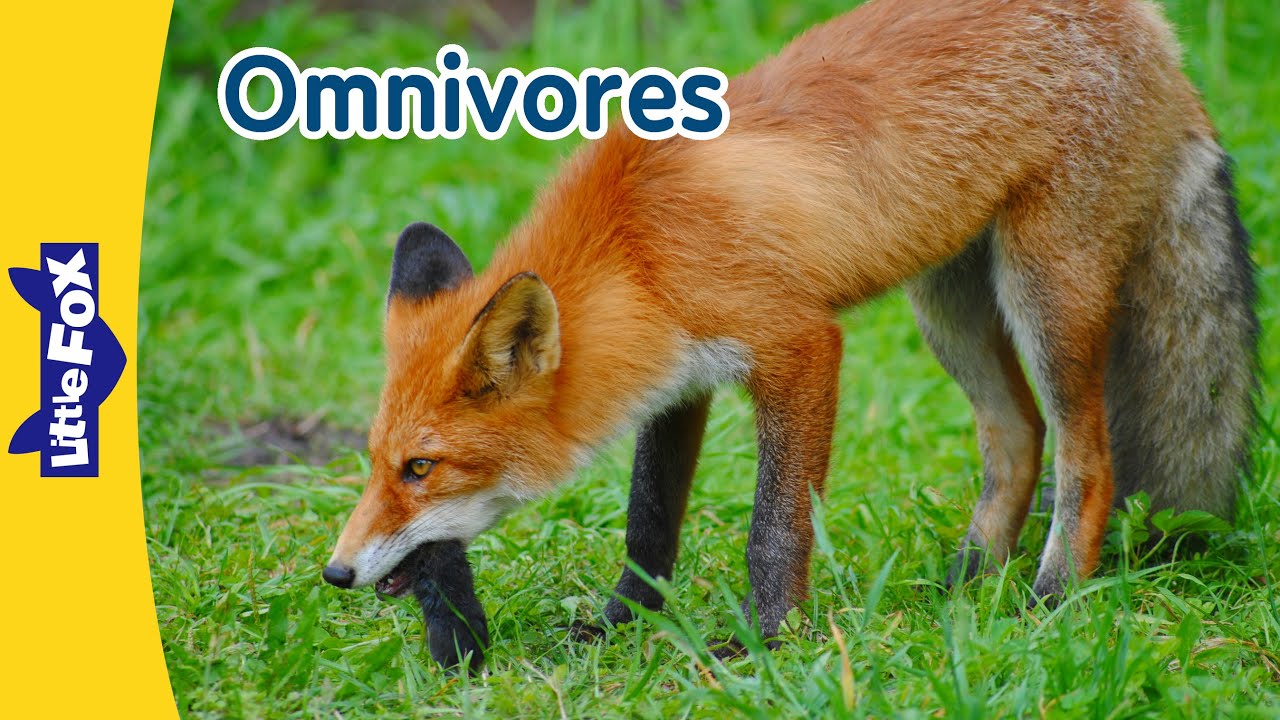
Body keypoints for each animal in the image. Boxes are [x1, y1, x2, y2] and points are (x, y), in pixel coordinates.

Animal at [323, 0, 1259, 647]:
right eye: (373, 461)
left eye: (420, 468)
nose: (335, 572)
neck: (640, 246)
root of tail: (1149, 23)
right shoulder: (680, 380)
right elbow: (648, 523)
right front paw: (623, 625)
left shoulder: (801, 344)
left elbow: (774, 528)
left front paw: (767, 640)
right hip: (948, 306)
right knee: (1017, 437)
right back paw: (966, 582)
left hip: (1044, 292)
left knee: (1086, 458)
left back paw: (1050, 598)